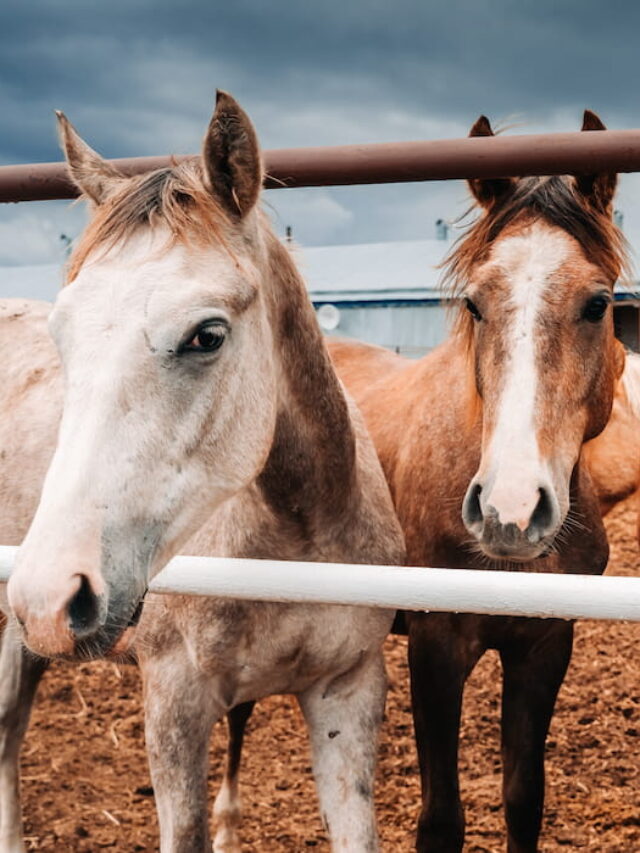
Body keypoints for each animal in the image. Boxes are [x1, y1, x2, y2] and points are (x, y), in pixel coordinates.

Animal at [0, 92, 405, 853]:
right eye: (62, 335)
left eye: (206, 335)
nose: (54, 593)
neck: (296, 539)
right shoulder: (174, 701)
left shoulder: (347, 691)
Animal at [326, 111, 628, 852]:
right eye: (475, 304)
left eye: (597, 303)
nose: (509, 511)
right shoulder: (437, 647)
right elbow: (441, 819)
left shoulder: (544, 646)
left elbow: (523, 798)